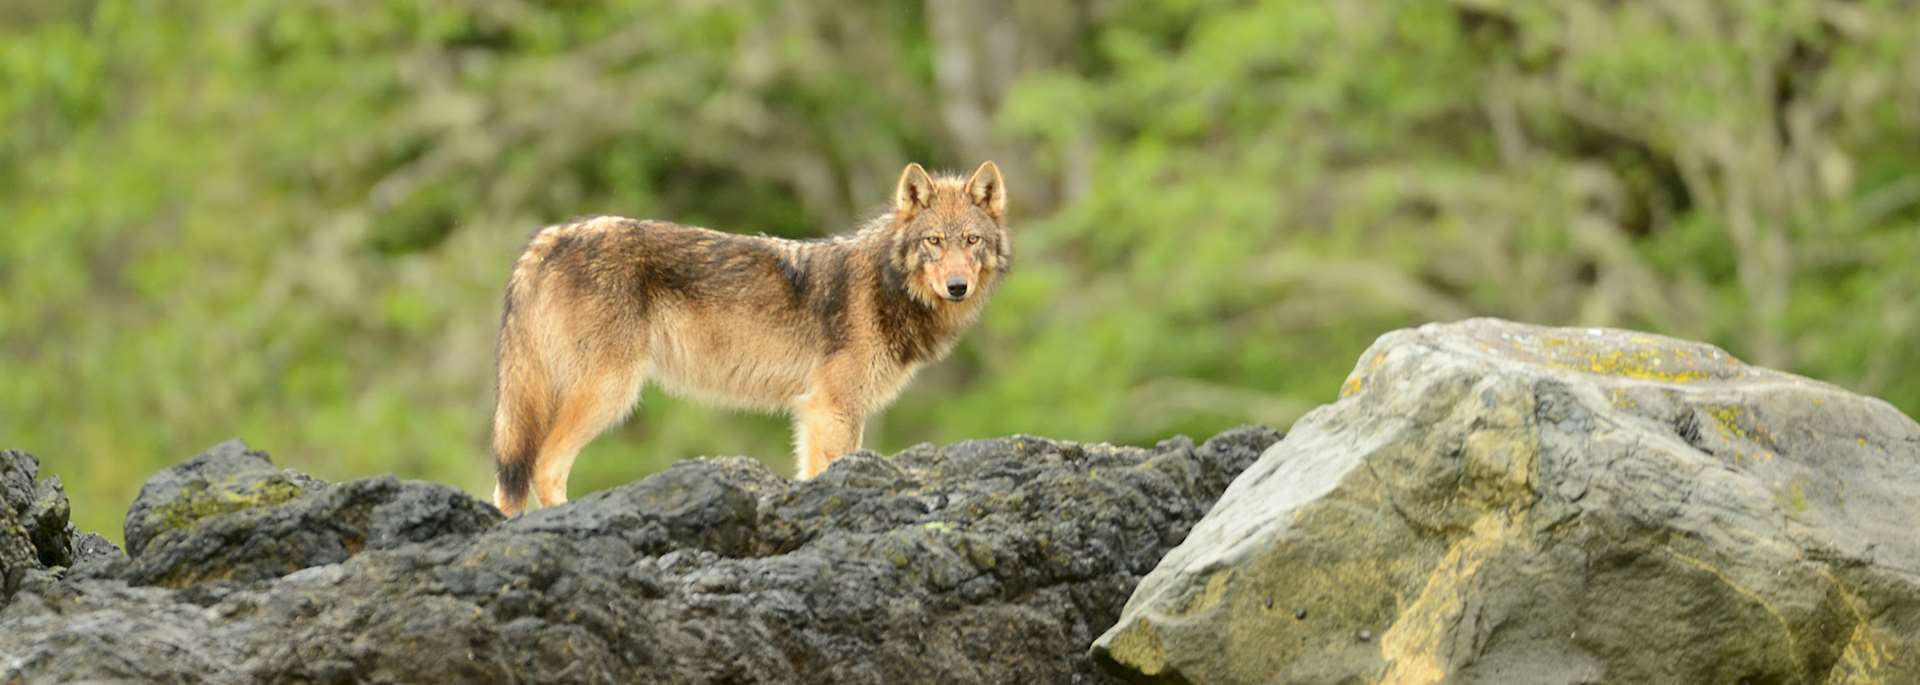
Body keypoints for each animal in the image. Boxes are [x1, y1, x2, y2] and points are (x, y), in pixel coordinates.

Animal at [489, 162, 1010, 516]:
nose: (957, 287)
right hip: (608, 393)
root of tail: (549, 237)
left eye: (972, 241)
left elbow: (811, 475)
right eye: (934, 242)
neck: (886, 286)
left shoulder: (813, 413)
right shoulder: (835, 409)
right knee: (542, 467)